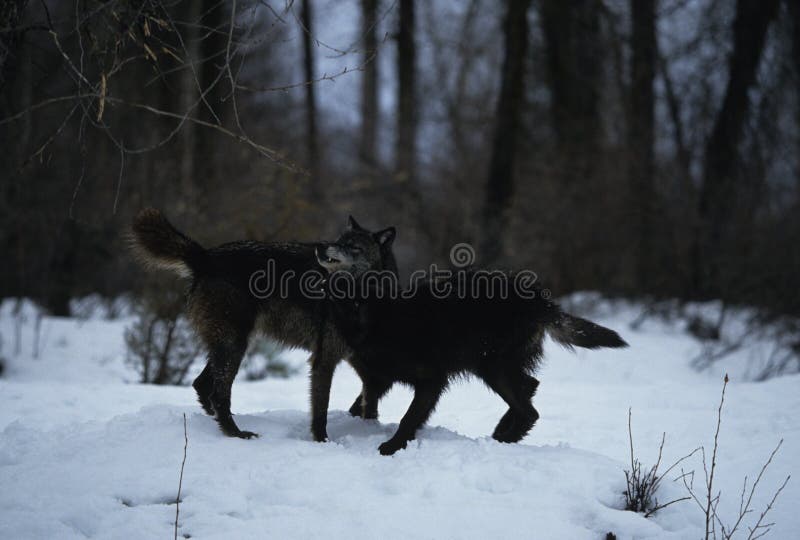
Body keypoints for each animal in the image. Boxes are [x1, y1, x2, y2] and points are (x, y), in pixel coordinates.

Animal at [130, 208, 396, 440]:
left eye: (352, 246)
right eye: (338, 240)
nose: (320, 245)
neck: (360, 301)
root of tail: (205, 257)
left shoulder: (366, 363)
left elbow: (371, 395)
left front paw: (368, 427)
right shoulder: (324, 360)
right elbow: (321, 410)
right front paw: (323, 441)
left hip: (233, 344)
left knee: (201, 384)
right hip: (234, 345)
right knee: (217, 393)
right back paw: (236, 433)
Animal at [316, 239, 628, 455]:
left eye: (351, 246)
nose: (318, 248)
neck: (380, 317)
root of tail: (540, 299)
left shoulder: (431, 381)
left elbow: (409, 418)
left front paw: (393, 447)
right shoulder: (377, 381)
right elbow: (364, 406)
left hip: (492, 368)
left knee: (530, 410)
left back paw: (504, 439)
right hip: (492, 367)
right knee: (530, 389)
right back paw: (503, 431)